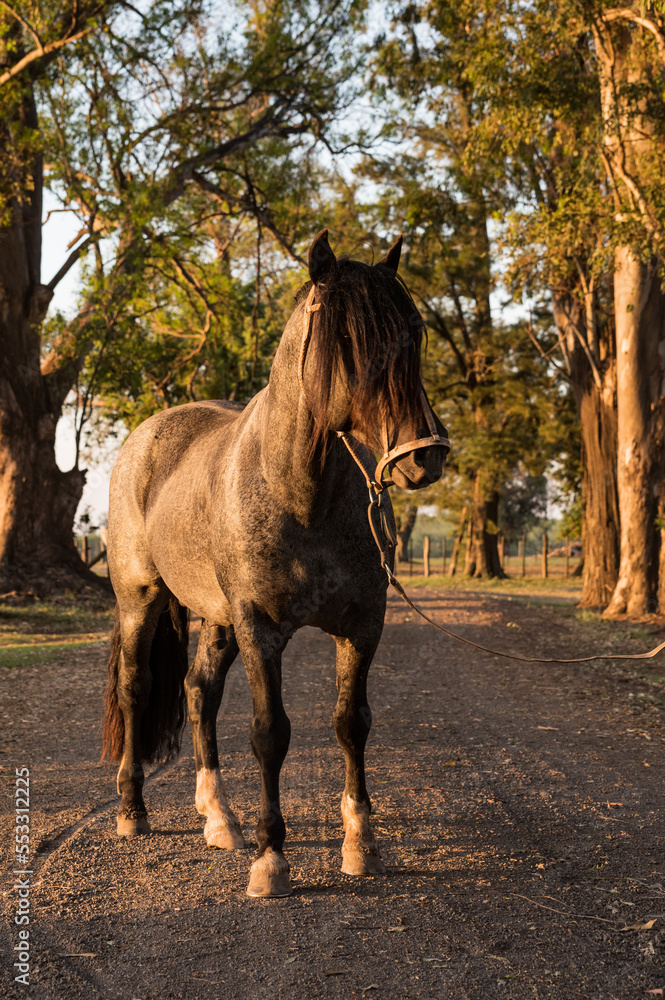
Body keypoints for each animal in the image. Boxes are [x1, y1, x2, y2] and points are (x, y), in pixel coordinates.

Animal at [102, 230, 449, 897]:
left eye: (415, 333)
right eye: (351, 340)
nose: (426, 456)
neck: (301, 492)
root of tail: (147, 435)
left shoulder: (362, 625)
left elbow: (351, 722)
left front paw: (361, 842)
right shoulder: (261, 629)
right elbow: (271, 733)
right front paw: (272, 858)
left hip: (217, 619)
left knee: (199, 692)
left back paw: (219, 818)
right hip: (142, 600)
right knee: (137, 689)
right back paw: (133, 810)